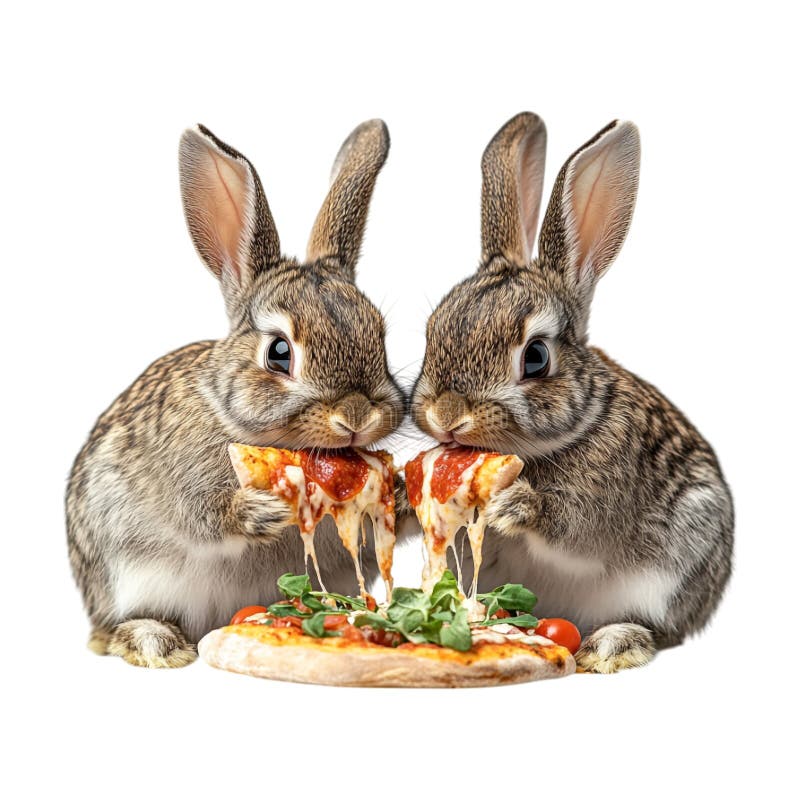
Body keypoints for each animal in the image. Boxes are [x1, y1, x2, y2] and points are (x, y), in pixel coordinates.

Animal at [66, 120, 406, 667]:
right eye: (279, 353)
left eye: (380, 335)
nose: (356, 416)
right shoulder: (186, 478)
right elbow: (204, 517)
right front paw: (261, 510)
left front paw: (396, 491)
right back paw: (159, 644)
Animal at [411, 112, 733, 673]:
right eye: (432, 332)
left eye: (536, 357)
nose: (447, 415)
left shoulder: (600, 502)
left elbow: (570, 530)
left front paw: (514, 506)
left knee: (660, 628)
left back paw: (611, 646)